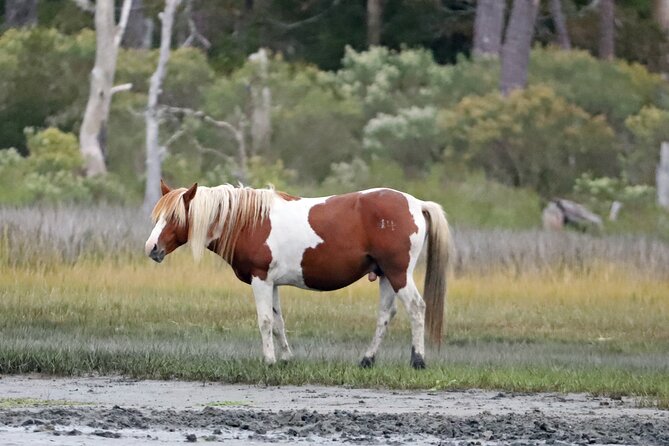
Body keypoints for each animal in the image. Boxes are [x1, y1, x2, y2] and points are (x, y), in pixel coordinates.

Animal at [145, 180, 453, 369]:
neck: (248, 221)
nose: (152, 248)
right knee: (385, 315)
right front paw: (286, 359)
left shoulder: (260, 280)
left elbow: (265, 321)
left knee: (416, 308)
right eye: (158, 216)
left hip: (399, 273)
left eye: (174, 217)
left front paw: (269, 361)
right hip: (386, 275)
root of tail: (416, 203)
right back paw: (367, 360)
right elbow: (278, 322)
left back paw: (418, 360)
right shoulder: (272, 283)